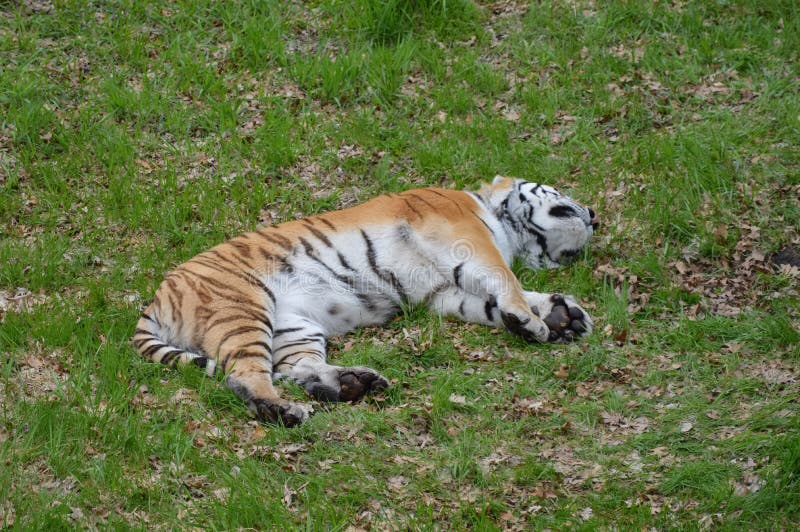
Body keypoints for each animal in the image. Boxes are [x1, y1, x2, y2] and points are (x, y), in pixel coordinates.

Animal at [133, 176, 599, 426]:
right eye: (561, 191)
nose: (594, 214)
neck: (511, 231)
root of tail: (154, 299)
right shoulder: (465, 236)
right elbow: (506, 279)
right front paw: (533, 318)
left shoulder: (441, 293)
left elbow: (491, 302)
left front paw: (562, 315)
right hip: (244, 308)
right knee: (245, 377)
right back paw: (286, 410)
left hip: (294, 326)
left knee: (297, 367)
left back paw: (352, 383)